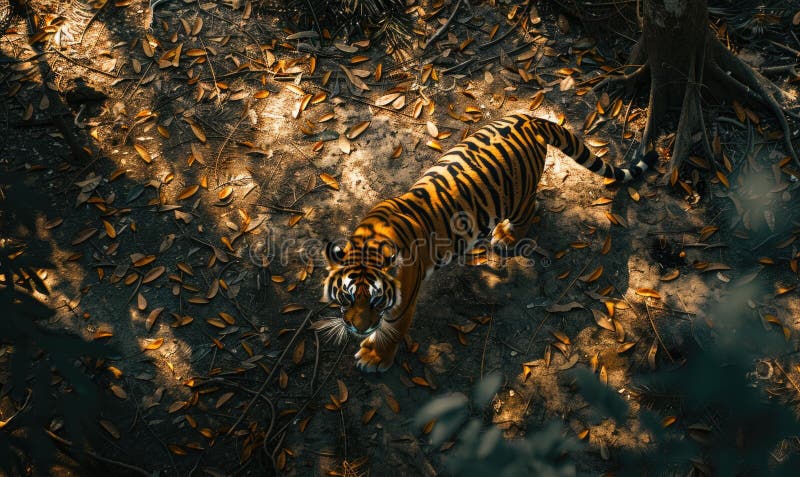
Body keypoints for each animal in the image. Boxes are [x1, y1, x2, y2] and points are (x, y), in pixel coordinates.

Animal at [319, 113, 657, 372]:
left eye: (376, 300)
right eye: (347, 297)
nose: (357, 328)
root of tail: (531, 119)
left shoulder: (403, 302)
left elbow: (393, 330)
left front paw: (374, 357)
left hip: (515, 198)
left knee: (531, 208)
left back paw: (507, 236)